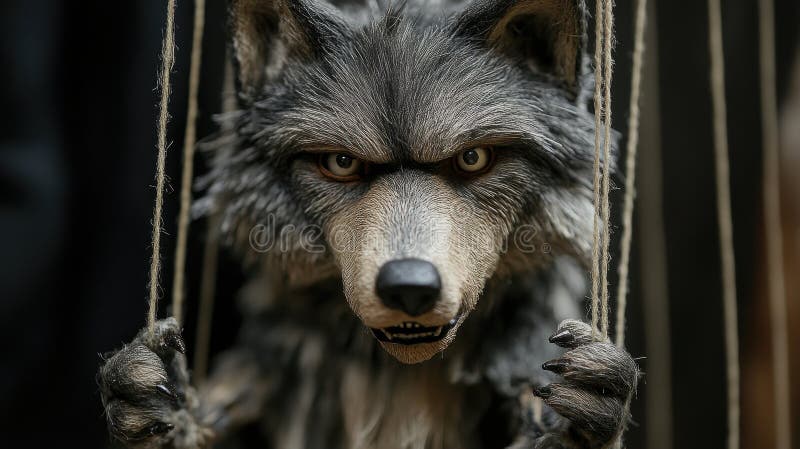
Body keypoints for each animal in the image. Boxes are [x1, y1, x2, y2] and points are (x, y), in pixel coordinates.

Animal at [98, 0, 639, 447]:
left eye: (473, 158)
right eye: (340, 163)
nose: (409, 288)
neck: (398, 378)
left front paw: (586, 416)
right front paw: (150, 404)